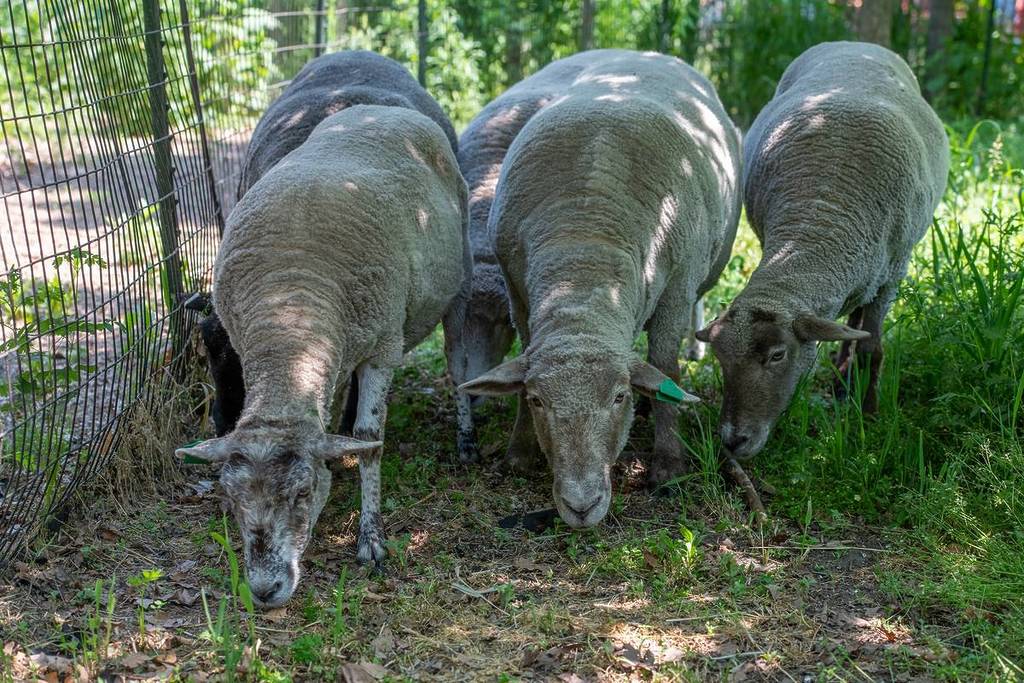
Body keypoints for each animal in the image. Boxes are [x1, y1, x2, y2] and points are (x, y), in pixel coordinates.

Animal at [177, 104, 471, 607]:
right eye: (232, 499)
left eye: (301, 492)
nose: (265, 590)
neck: (289, 314)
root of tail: (387, 109)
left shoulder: (383, 348)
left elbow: (369, 438)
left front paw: (371, 539)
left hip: (458, 282)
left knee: (460, 364)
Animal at [459, 49, 742, 527]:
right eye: (537, 400)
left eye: (618, 396)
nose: (582, 505)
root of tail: (639, 53)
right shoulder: (517, 292)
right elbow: (524, 355)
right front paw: (519, 453)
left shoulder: (677, 287)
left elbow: (665, 365)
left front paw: (669, 466)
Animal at [695, 41, 950, 462]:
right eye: (720, 359)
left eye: (777, 355)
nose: (732, 441)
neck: (821, 214)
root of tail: (854, 44)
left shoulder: (893, 274)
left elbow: (872, 349)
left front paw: (869, 415)